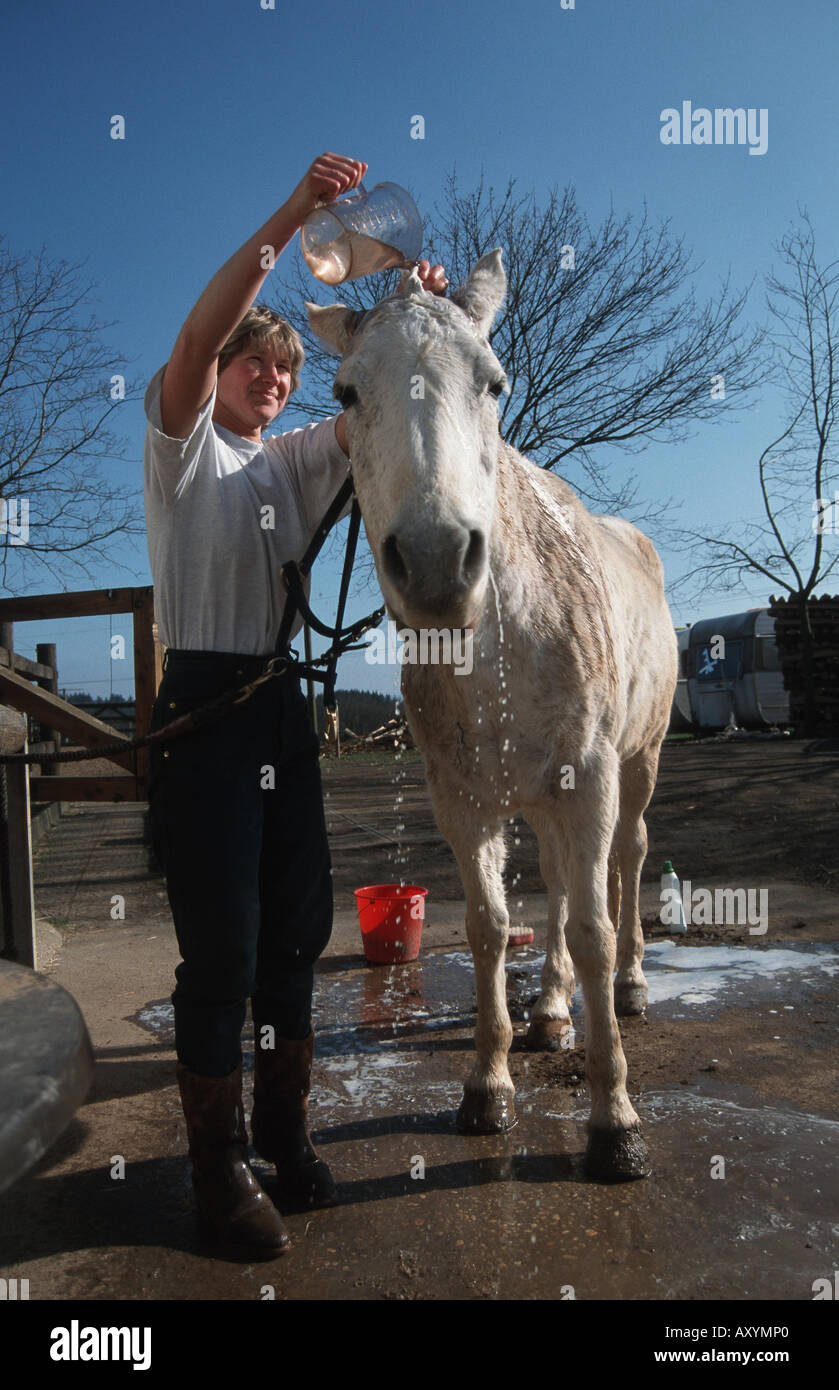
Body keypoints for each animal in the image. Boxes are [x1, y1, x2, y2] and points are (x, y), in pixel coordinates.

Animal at [308, 251, 678, 1181]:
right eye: (345, 392)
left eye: (494, 381)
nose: (437, 560)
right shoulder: (464, 800)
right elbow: (489, 926)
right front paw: (488, 1085)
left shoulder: (588, 778)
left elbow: (590, 927)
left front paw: (614, 1122)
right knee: (553, 886)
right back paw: (548, 1012)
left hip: (637, 762)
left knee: (624, 862)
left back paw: (628, 985)